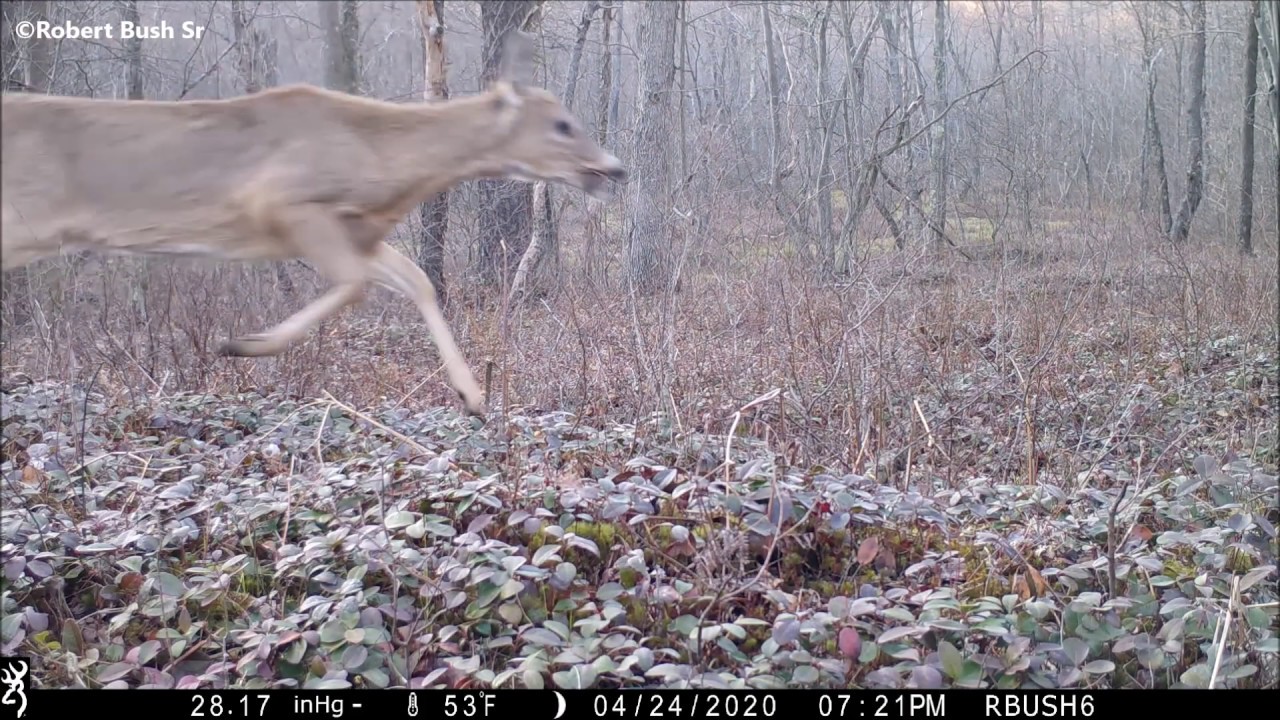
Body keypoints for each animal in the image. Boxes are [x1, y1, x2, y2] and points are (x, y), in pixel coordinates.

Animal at [0, 32, 626, 417]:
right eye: (562, 124)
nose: (615, 168)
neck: (385, 166)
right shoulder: (286, 203)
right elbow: (355, 284)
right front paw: (244, 344)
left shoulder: (357, 229)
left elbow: (417, 280)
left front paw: (472, 396)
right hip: (21, 220)